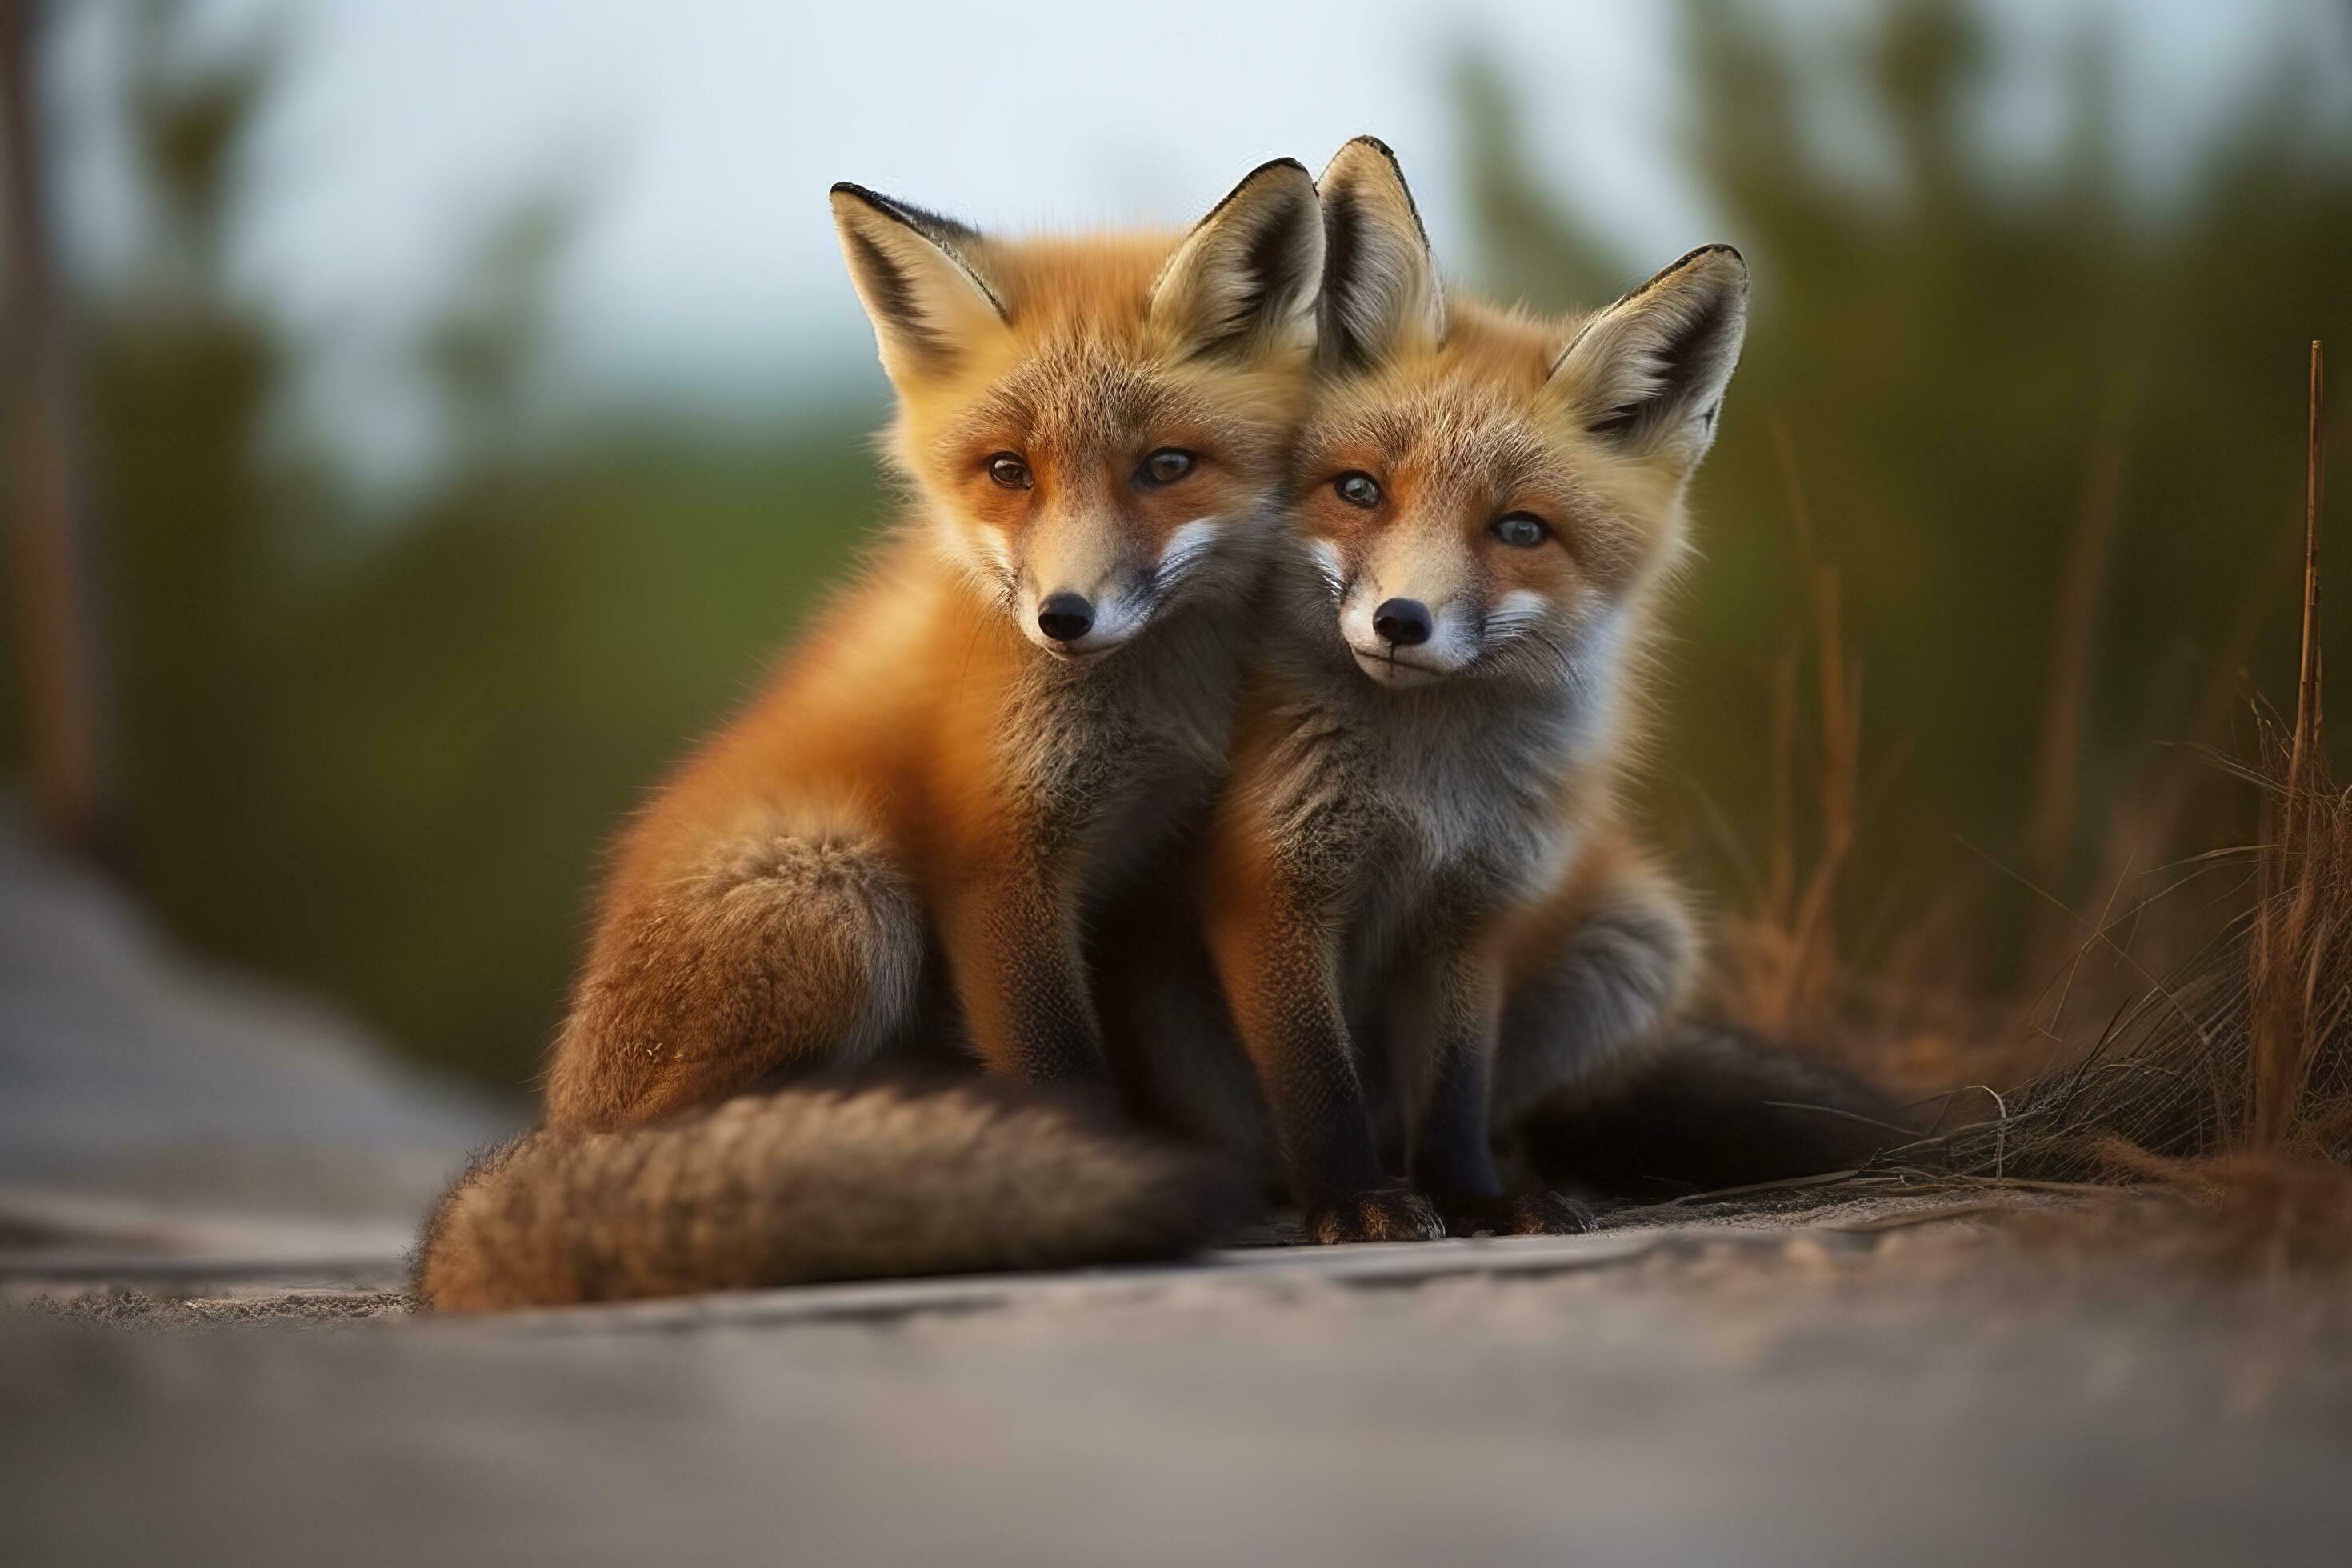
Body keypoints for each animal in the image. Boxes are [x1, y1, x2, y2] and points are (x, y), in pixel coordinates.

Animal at [416, 159, 1327, 1310]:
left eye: (1167, 467)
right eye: (1008, 470)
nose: (1064, 617)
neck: (1149, 707)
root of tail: (562, 1118)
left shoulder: (1143, 887)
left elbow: (1203, 1062)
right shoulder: (995, 866)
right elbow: (1063, 1070)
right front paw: (1104, 1173)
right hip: (843, 896)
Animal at [1101, 138, 1897, 1242]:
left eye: (1520, 530)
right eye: (1360, 491)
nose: (1401, 622)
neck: (1423, 793)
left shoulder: (1475, 907)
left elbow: (1457, 1084)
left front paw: (1469, 1194)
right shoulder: (1271, 888)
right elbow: (1318, 1083)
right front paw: (1354, 1200)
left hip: (1638, 937)